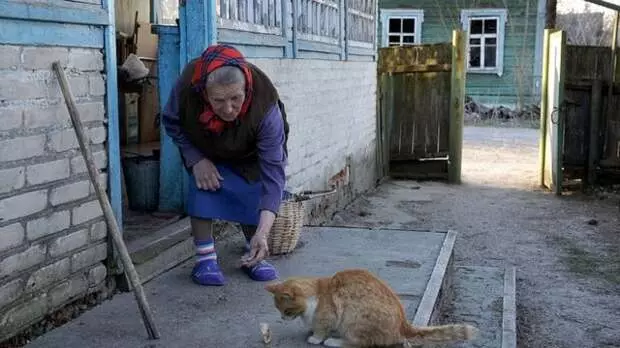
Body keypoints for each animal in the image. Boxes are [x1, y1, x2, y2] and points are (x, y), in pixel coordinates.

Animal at [264, 268, 478, 346]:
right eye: (279, 311)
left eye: (287, 311)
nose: (282, 318)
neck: (316, 294)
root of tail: (404, 325)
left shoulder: (327, 317)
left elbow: (321, 329)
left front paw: (316, 338)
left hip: (353, 320)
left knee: (361, 344)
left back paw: (334, 341)